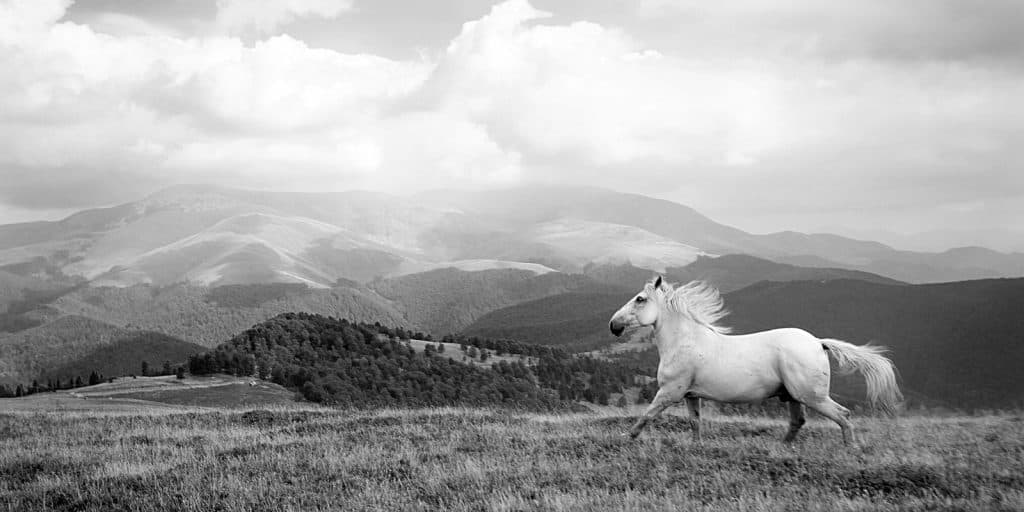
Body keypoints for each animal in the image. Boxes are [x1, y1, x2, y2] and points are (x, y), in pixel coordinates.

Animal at [608, 277, 902, 445]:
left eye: (640, 299)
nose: (613, 325)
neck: (685, 341)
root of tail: (819, 342)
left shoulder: (670, 391)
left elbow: (647, 415)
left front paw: (626, 438)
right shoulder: (691, 394)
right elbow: (695, 423)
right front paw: (696, 446)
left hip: (811, 395)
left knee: (843, 415)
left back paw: (850, 450)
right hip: (793, 396)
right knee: (798, 421)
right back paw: (781, 448)